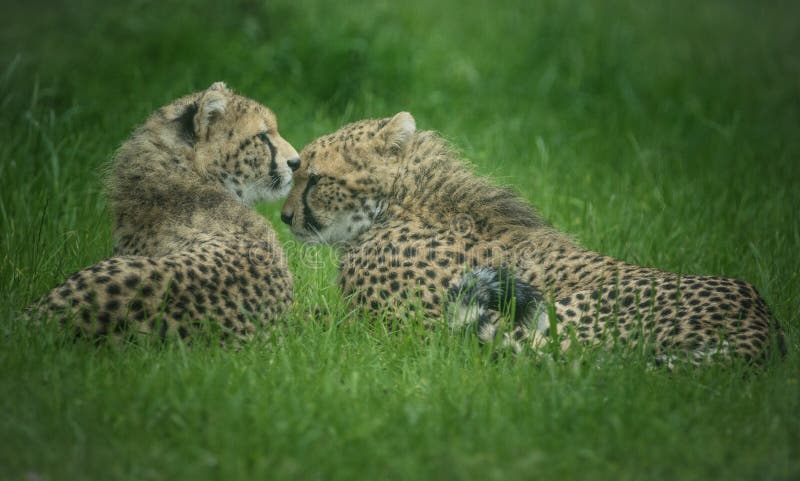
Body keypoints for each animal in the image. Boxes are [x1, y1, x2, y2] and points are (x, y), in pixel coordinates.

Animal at [279, 111, 784, 364]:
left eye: (315, 178)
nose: (284, 218)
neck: (400, 203)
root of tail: (763, 325)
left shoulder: (409, 333)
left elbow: (319, 324)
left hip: (559, 322)